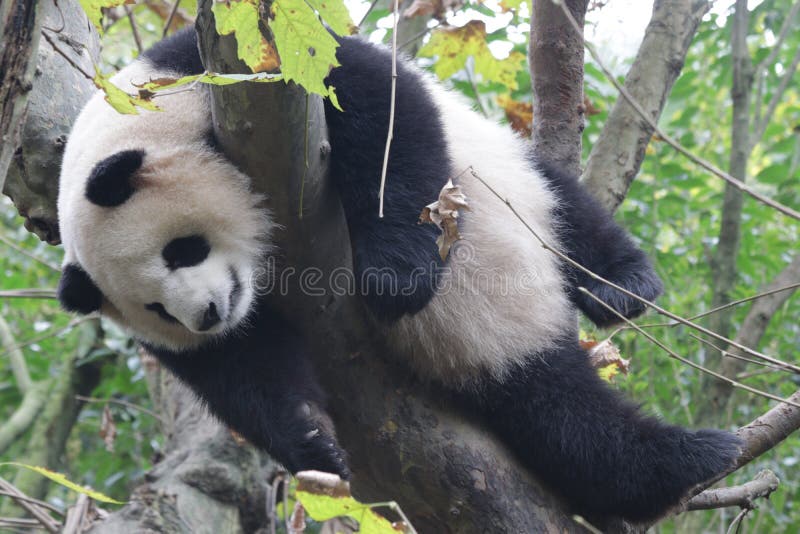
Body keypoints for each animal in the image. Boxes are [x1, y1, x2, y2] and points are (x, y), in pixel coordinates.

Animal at [56, 28, 740, 523]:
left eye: (182, 250)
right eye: (156, 309)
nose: (206, 314)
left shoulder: (235, 70)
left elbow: (382, 118)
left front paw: (395, 281)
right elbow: (242, 370)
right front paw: (313, 442)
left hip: (516, 198)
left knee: (565, 217)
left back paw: (630, 308)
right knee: (558, 417)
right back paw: (676, 464)